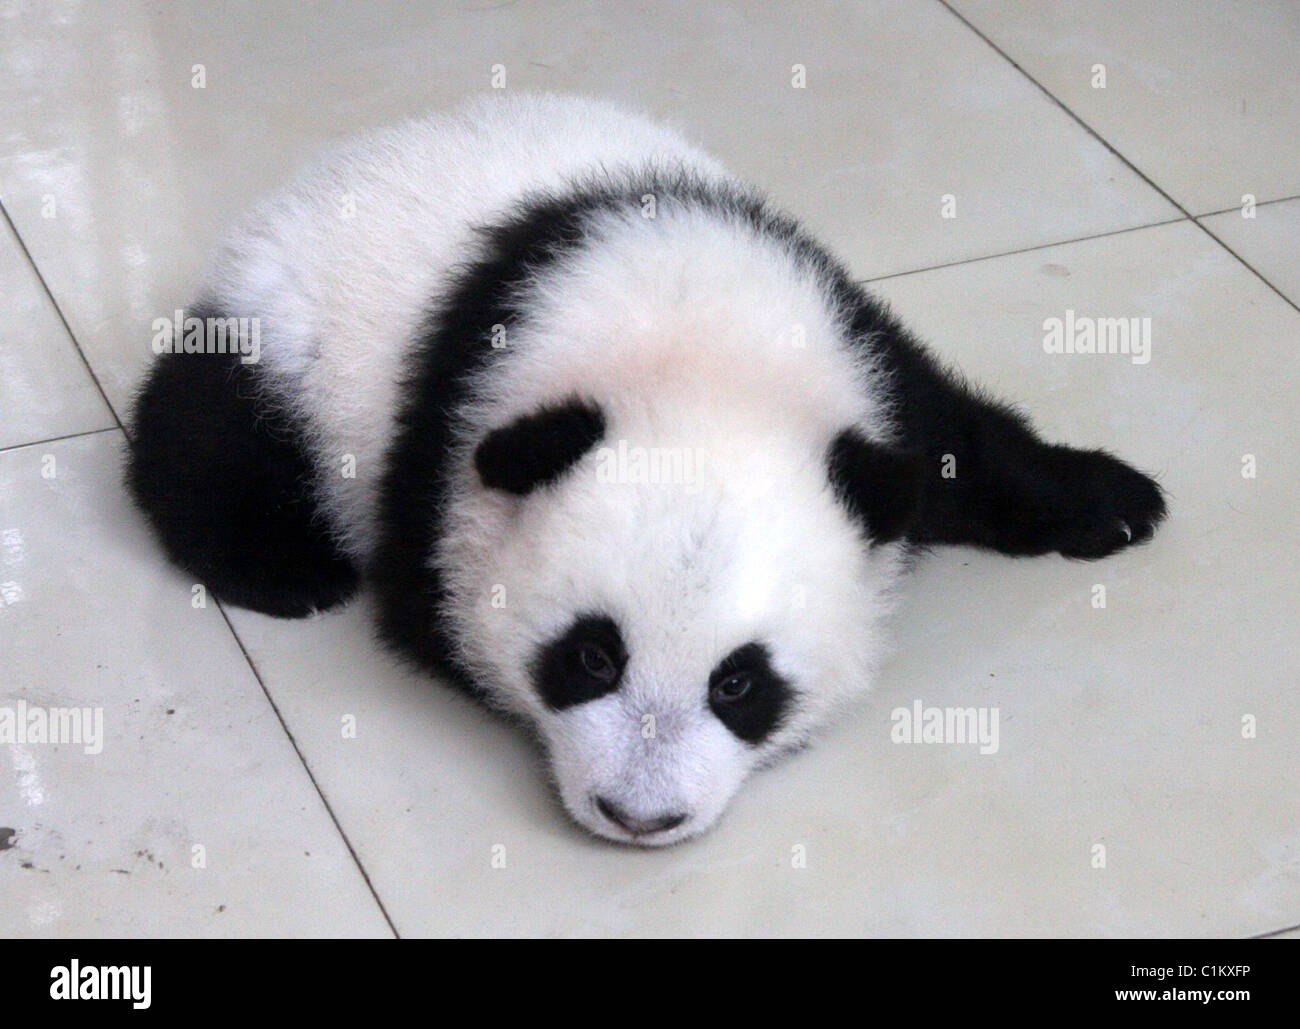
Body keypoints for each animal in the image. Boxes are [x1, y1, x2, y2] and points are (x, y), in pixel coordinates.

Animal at [127, 93, 1166, 846]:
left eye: (739, 684)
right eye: (590, 656)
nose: (639, 816)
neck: (699, 367)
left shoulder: (857, 351)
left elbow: (956, 443)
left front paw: (1110, 502)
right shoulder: (446, 439)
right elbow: (434, 608)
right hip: (279, 340)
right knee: (205, 437)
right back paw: (282, 565)